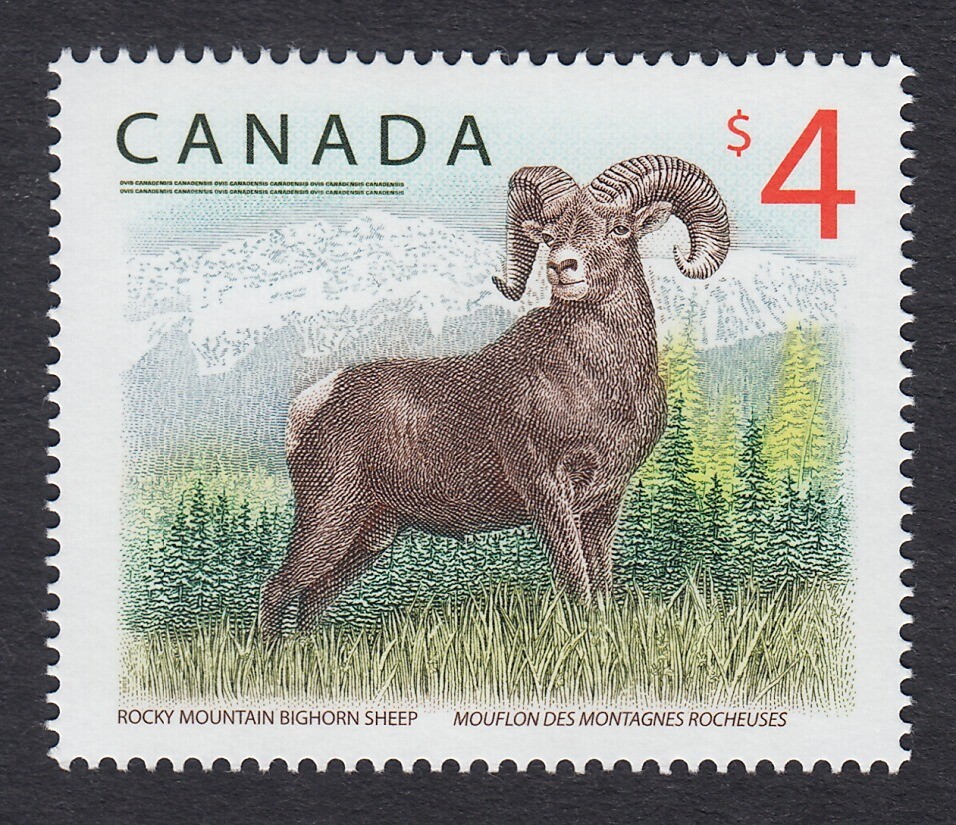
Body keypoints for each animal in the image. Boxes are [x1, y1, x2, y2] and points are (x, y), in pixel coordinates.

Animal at [259, 154, 731, 637]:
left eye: (620, 228)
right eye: (550, 235)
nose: (562, 266)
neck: (603, 386)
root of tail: (311, 402)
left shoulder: (605, 499)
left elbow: (599, 580)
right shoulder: (546, 488)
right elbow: (575, 576)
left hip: (371, 534)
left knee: (313, 599)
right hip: (330, 516)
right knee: (277, 588)